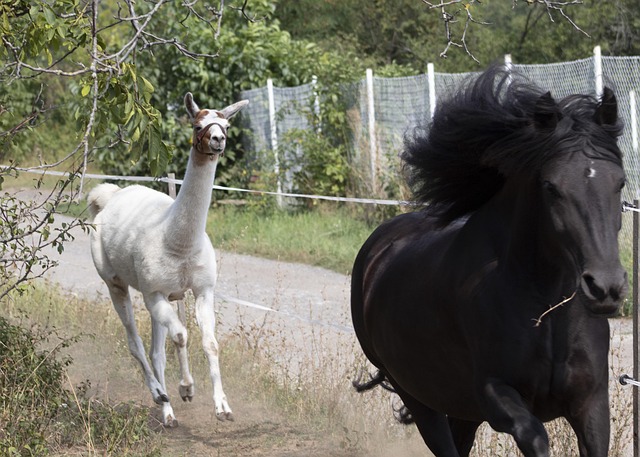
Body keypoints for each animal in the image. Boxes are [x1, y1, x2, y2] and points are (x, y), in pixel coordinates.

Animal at [351, 65, 627, 457]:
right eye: (551, 187)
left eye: (619, 183)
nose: (605, 288)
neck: (546, 309)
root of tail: (377, 249)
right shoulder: (495, 396)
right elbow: (535, 438)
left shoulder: (591, 405)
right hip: (420, 398)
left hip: (459, 409)